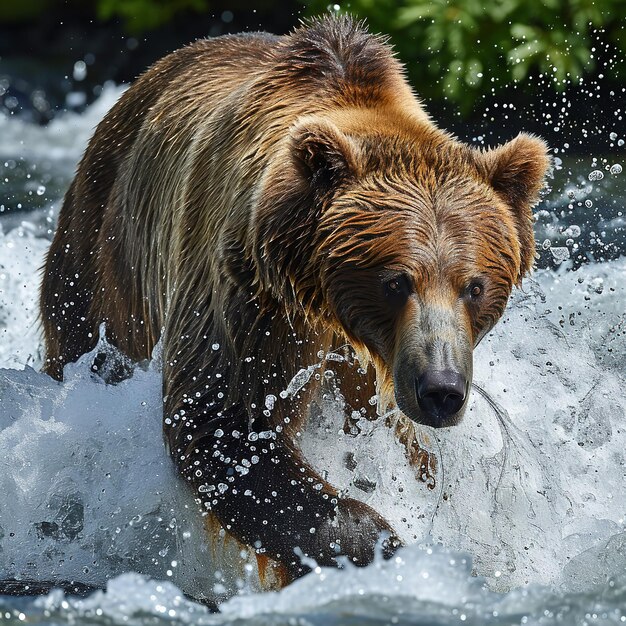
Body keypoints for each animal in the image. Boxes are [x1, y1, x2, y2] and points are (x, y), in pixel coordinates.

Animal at [39, 14, 544, 588]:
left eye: (473, 285)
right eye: (397, 282)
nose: (442, 389)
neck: (331, 305)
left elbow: (403, 449)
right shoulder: (252, 296)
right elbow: (226, 426)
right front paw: (383, 547)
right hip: (98, 262)